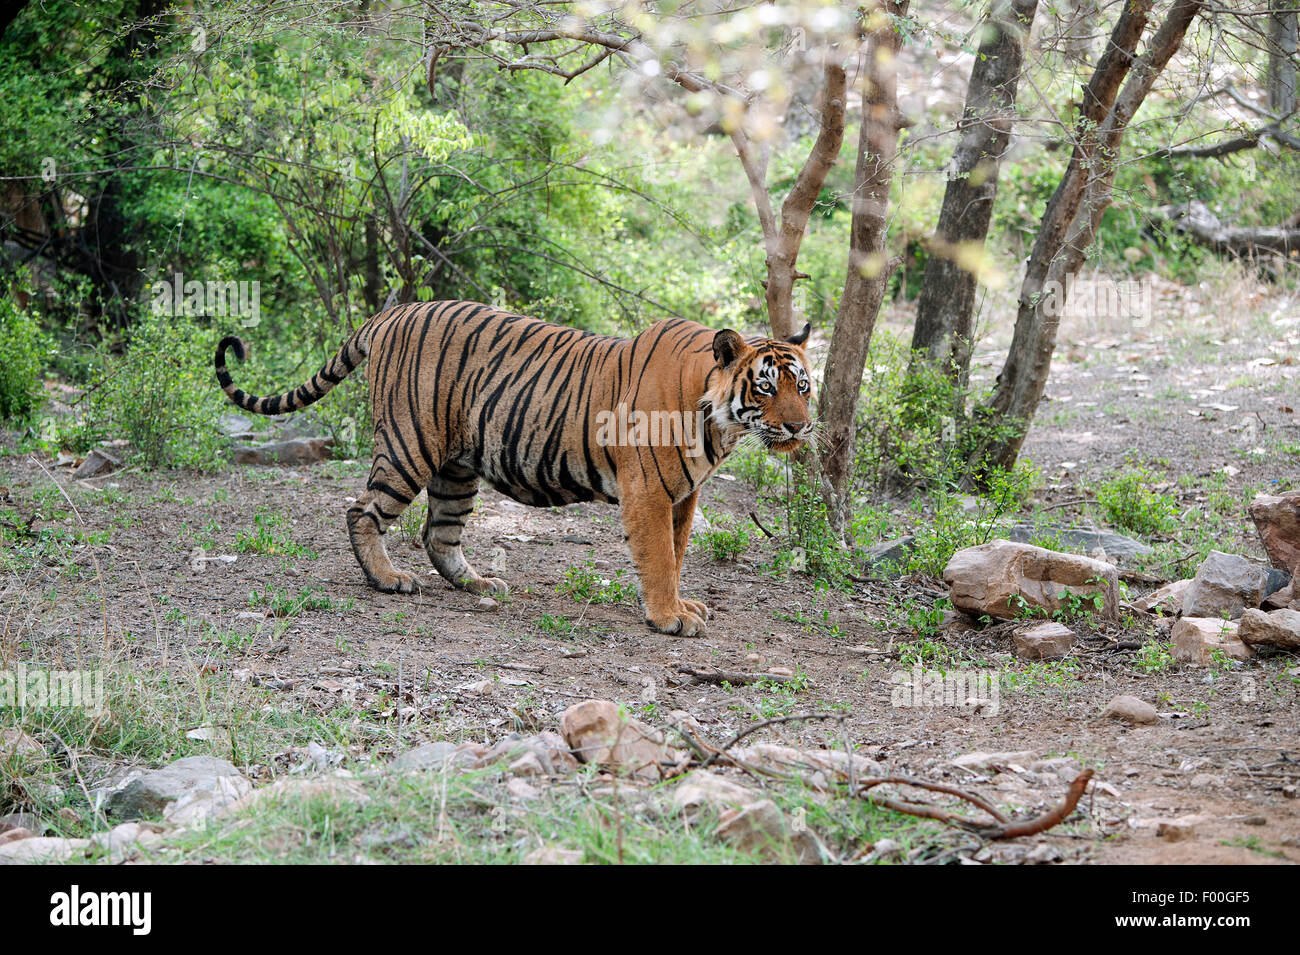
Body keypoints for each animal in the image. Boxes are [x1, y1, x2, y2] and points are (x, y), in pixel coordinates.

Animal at [214, 300, 814, 637]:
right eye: (766, 387)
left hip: (457, 465)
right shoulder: (648, 492)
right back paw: (387, 579)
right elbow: (660, 559)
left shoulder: (683, 496)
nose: (802, 427)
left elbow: (678, 552)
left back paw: (478, 583)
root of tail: (392, 312)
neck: (716, 421)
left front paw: (680, 604)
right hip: (411, 444)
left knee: (439, 533)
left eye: (803, 386)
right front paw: (669, 617)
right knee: (362, 511)